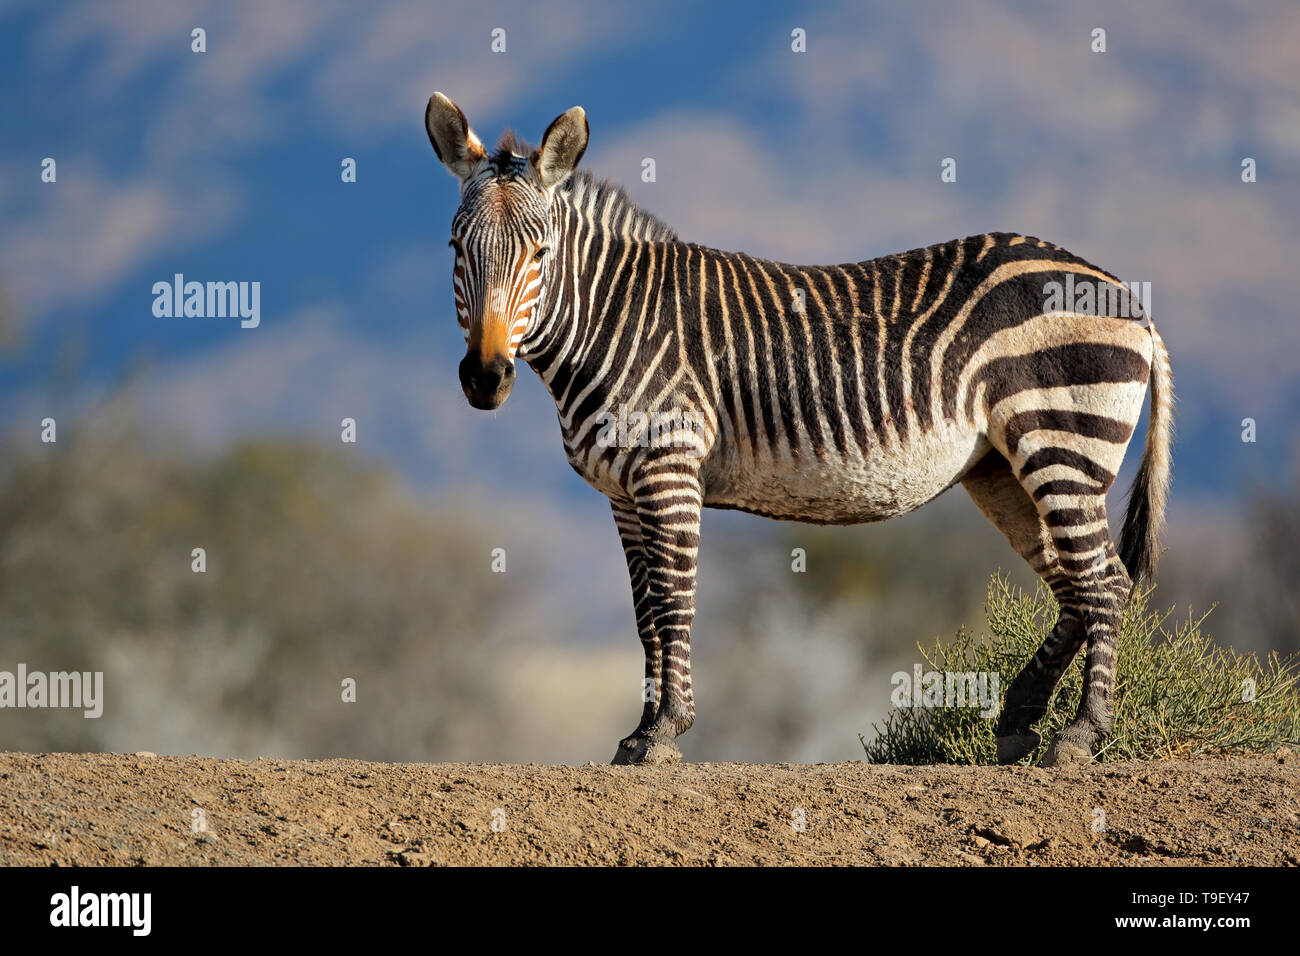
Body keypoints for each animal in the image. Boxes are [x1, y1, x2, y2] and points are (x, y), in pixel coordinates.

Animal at [424, 93, 1174, 768]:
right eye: (457, 248)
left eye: (540, 253)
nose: (485, 377)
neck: (613, 318)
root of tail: (1121, 293)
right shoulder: (622, 492)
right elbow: (643, 612)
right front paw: (637, 734)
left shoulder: (668, 470)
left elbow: (671, 600)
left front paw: (666, 732)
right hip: (1001, 471)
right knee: (1075, 585)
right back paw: (1020, 721)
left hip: (1063, 446)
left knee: (1104, 580)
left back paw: (1080, 736)